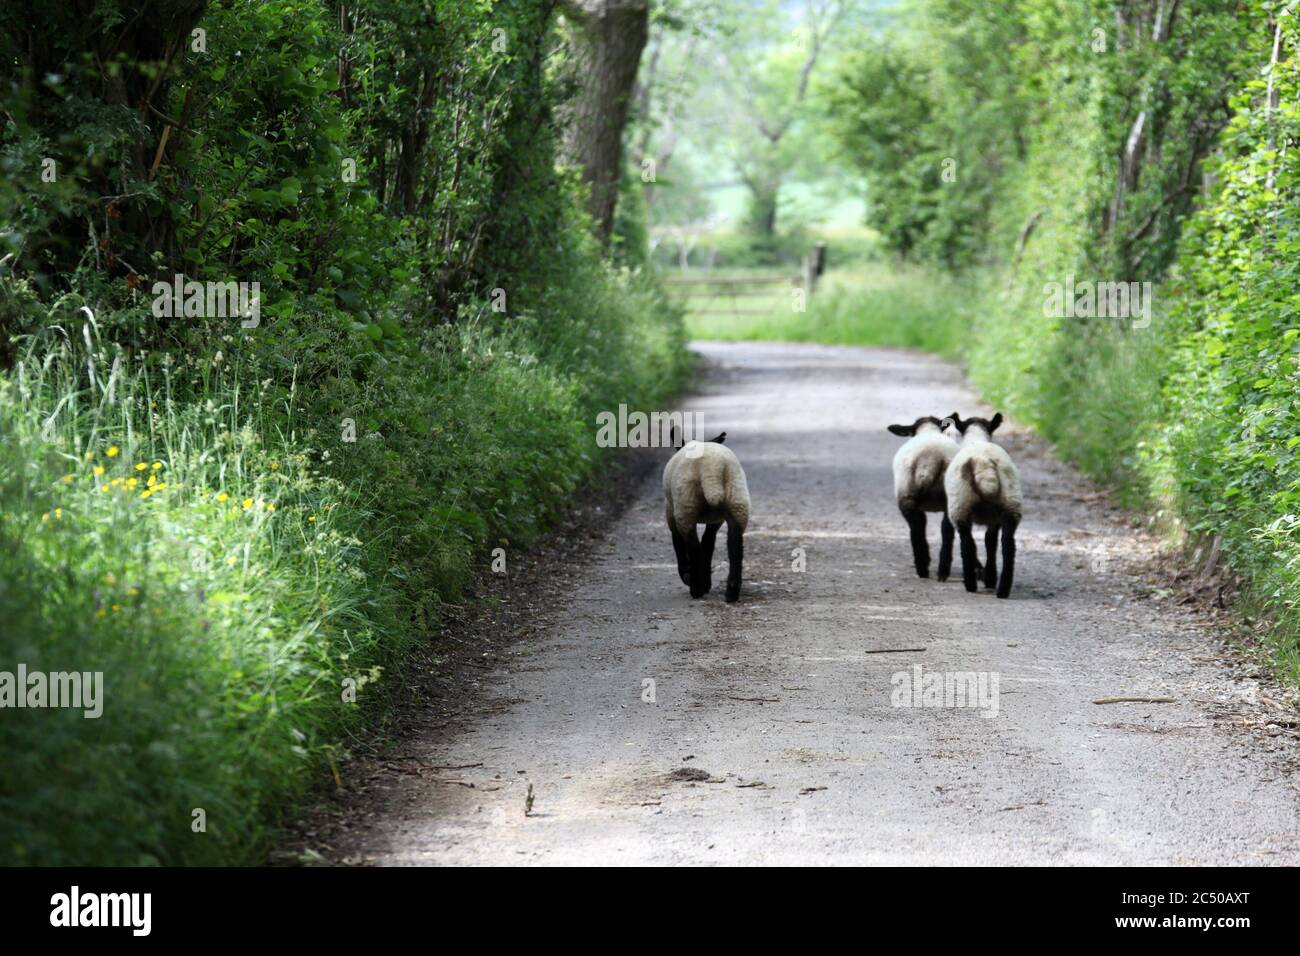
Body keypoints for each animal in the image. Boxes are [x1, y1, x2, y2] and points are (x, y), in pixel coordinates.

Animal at [663, 429, 750, 602]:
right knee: (735, 545)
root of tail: (711, 470)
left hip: (685, 505)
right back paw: (731, 592)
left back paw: (696, 588)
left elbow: (679, 543)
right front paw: (707, 582)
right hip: (737, 500)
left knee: (693, 547)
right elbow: (709, 542)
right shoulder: (716, 520)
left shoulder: (671, 512)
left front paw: (689, 576)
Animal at [887, 416, 962, 580]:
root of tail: (930, 459)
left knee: (919, 527)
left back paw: (925, 568)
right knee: (943, 529)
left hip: (907, 496)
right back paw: (939, 571)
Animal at [944, 412, 1023, 598]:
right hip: (1011, 503)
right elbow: (990, 541)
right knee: (1008, 544)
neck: (976, 438)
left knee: (967, 543)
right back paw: (1003, 589)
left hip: (960, 505)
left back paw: (971, 585)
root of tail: (983, 462)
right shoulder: (994, 519)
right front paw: (990, 579)